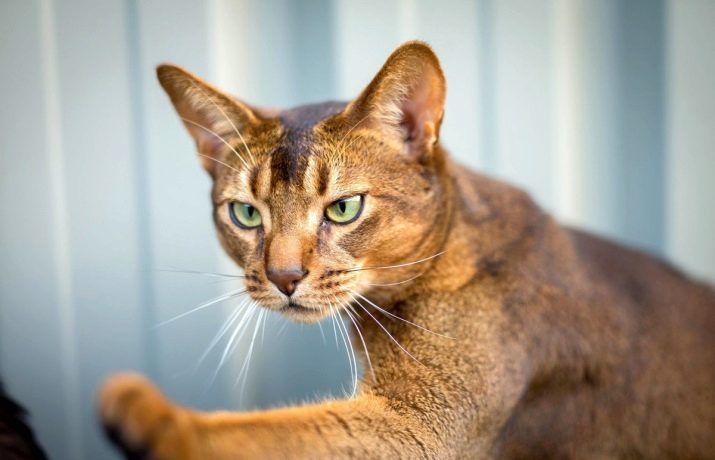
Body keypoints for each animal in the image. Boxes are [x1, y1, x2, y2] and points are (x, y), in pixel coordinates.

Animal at [98, 41, 712, 458]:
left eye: (344, 208)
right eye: (246, 214)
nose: (283, 275)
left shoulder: (419, 427)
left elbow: (271, 432)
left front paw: (152, 416)